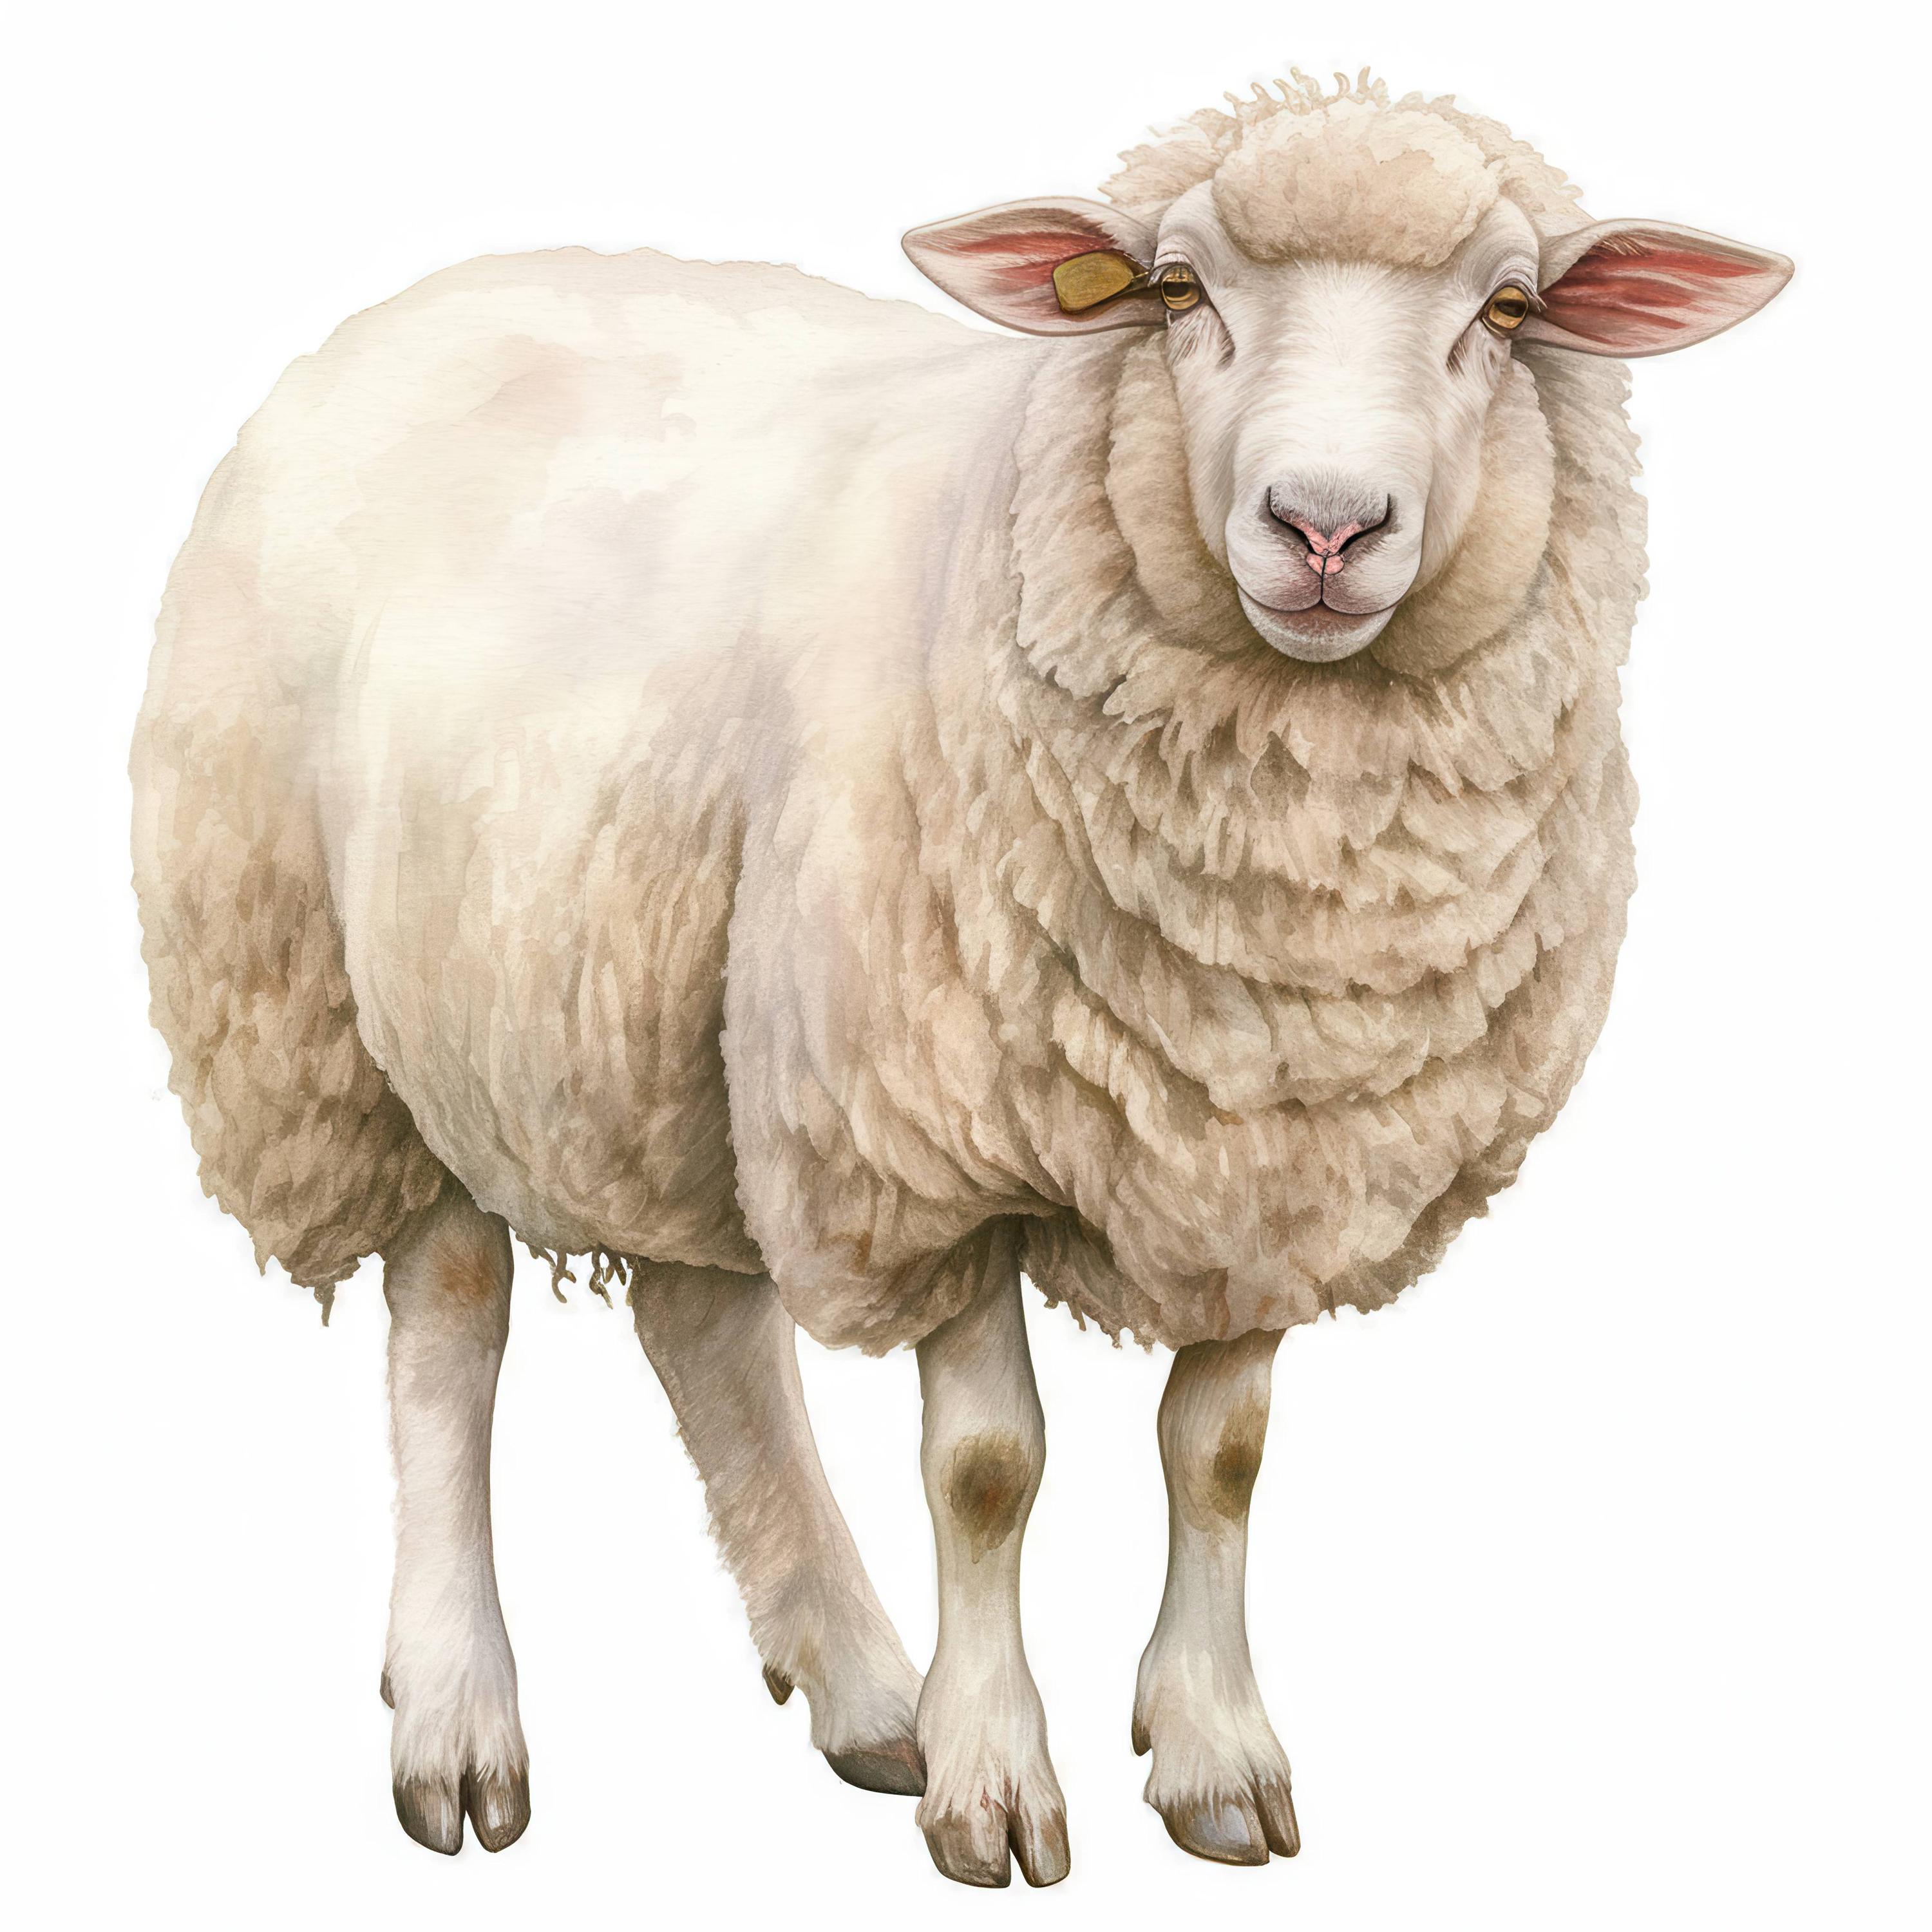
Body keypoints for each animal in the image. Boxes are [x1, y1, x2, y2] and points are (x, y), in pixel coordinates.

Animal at [129, 69, 1789, 1885]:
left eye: (1505, 312)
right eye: (1176, 289)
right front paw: (995, 1785)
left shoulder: (1273, 1143)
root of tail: (426, 294)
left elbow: (1220, 1455)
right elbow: (991, 1467)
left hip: (673, 1015)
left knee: (703, 1319)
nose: (1327, 524)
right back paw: (460, 1718)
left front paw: (1210, 1758)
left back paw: (863, 1685)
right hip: (353, 999)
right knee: (447, 1321)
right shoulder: (932, 1135)